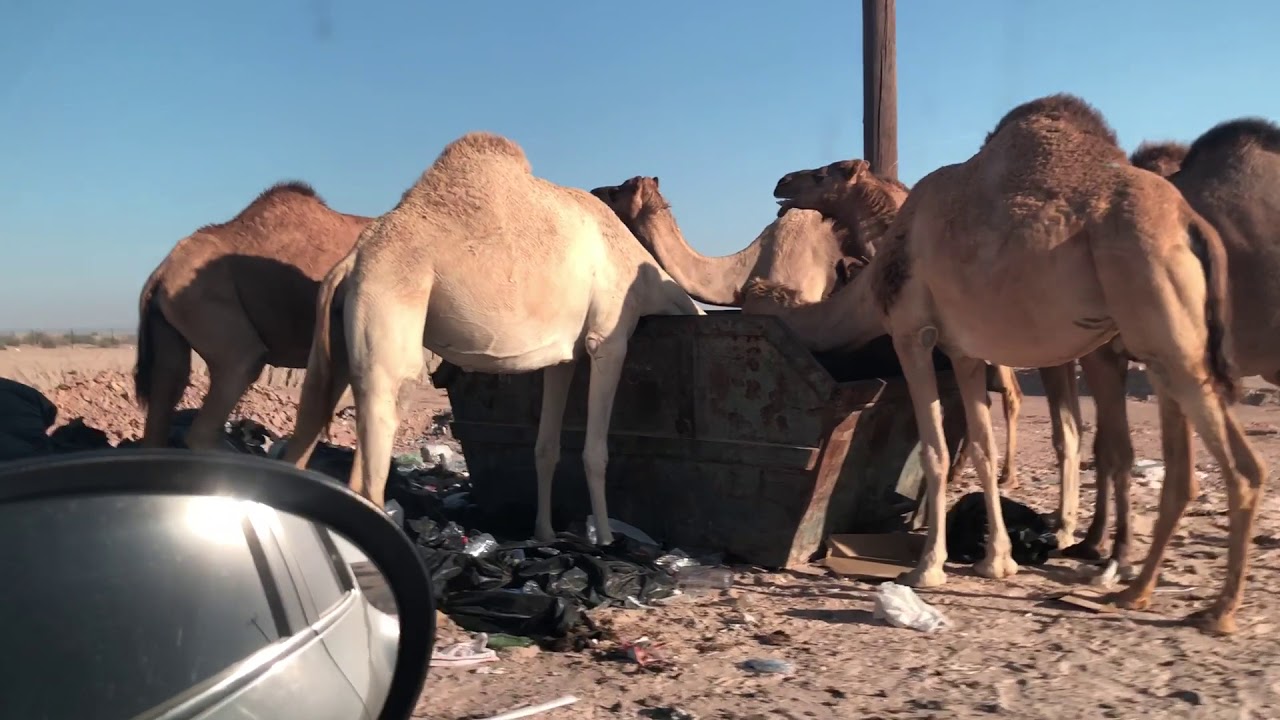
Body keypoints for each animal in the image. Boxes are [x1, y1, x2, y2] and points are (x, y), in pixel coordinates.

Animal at [279, 131, 703, 546]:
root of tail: (352, 261)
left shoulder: (564, 358)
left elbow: (546, 447)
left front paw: (545, 534)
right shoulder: (608, 340)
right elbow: (595, 452)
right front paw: (605, 540)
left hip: (337, 339)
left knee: (307, 432)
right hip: (388, 314)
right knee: (380, 432)